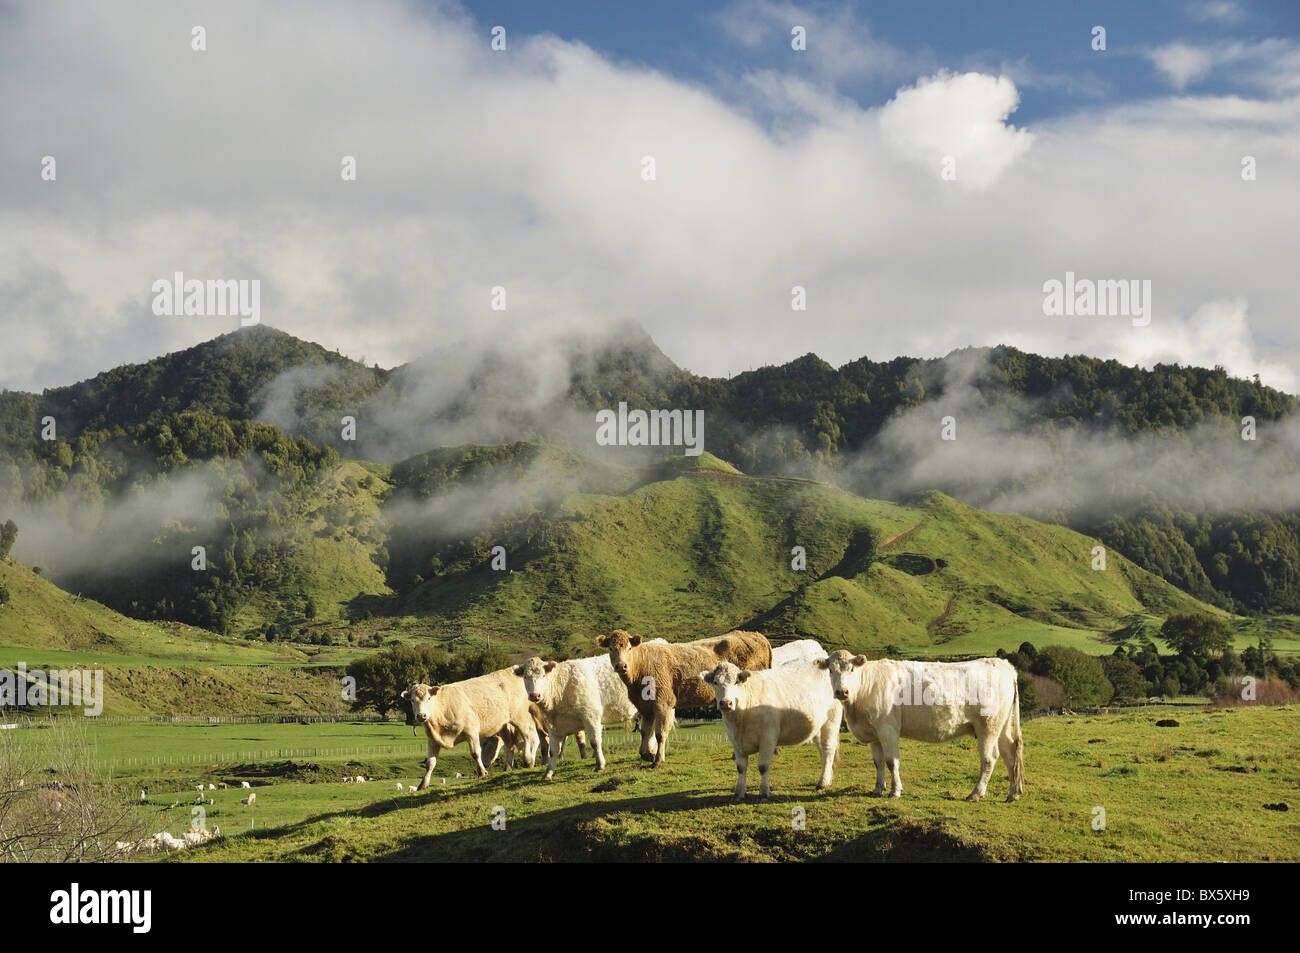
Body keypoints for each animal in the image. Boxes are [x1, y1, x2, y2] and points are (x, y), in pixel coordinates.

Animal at [401, 667, 543, 789]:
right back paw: (509, 767)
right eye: (412, 700)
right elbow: (430, 763)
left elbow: (475, 753)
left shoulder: (471, 731)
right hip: (504, 725)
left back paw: (529, 760)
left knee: (530, 736)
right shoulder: (432, 739)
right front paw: (423, 785)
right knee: (510, 745)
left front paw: (482, 772)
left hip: (520, 717)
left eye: (429, 698)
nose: (421, 715)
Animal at [512, 653, 642, 779]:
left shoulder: (591, 716)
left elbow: (595, 742)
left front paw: (600, 765)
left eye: (543, 675)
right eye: (525, 677)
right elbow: (553, 751)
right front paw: (548, 773)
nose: (535, 695)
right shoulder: (553, 727)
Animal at [598, 629, 772, 767]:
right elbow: (645, 731)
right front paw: (647, 755)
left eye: (629, 648)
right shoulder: (645, 707)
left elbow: (660, 733)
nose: (621, 665)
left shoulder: (663, 703)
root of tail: (756, 635)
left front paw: (658, 760)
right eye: (611, 648)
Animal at [701, 656, 841, 800]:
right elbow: (741, 767)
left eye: (736, 682)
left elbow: (763, 767)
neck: (740, 720)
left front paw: (763, 793)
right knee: (823, 752)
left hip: (831, 721)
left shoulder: (768, 738)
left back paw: (823, 783)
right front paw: (739, 793)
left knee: (828, 751)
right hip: (817, 728)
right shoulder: (735, 741)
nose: (725, 703)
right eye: (715, 682)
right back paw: (827, 779)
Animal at [817, 651, 1024, 802]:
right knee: (1010, 753)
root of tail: (1002, 663)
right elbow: (878, 762)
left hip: (988, 726)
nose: (842, 691)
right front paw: (878, 789)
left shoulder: (888, 729)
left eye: (852, 669)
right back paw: (1013, 794)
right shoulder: (874, 733)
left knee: (990, 758)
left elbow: (891, 761)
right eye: (830, 670)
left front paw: (895, 791)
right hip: (1003, 725)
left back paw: (976, 793)